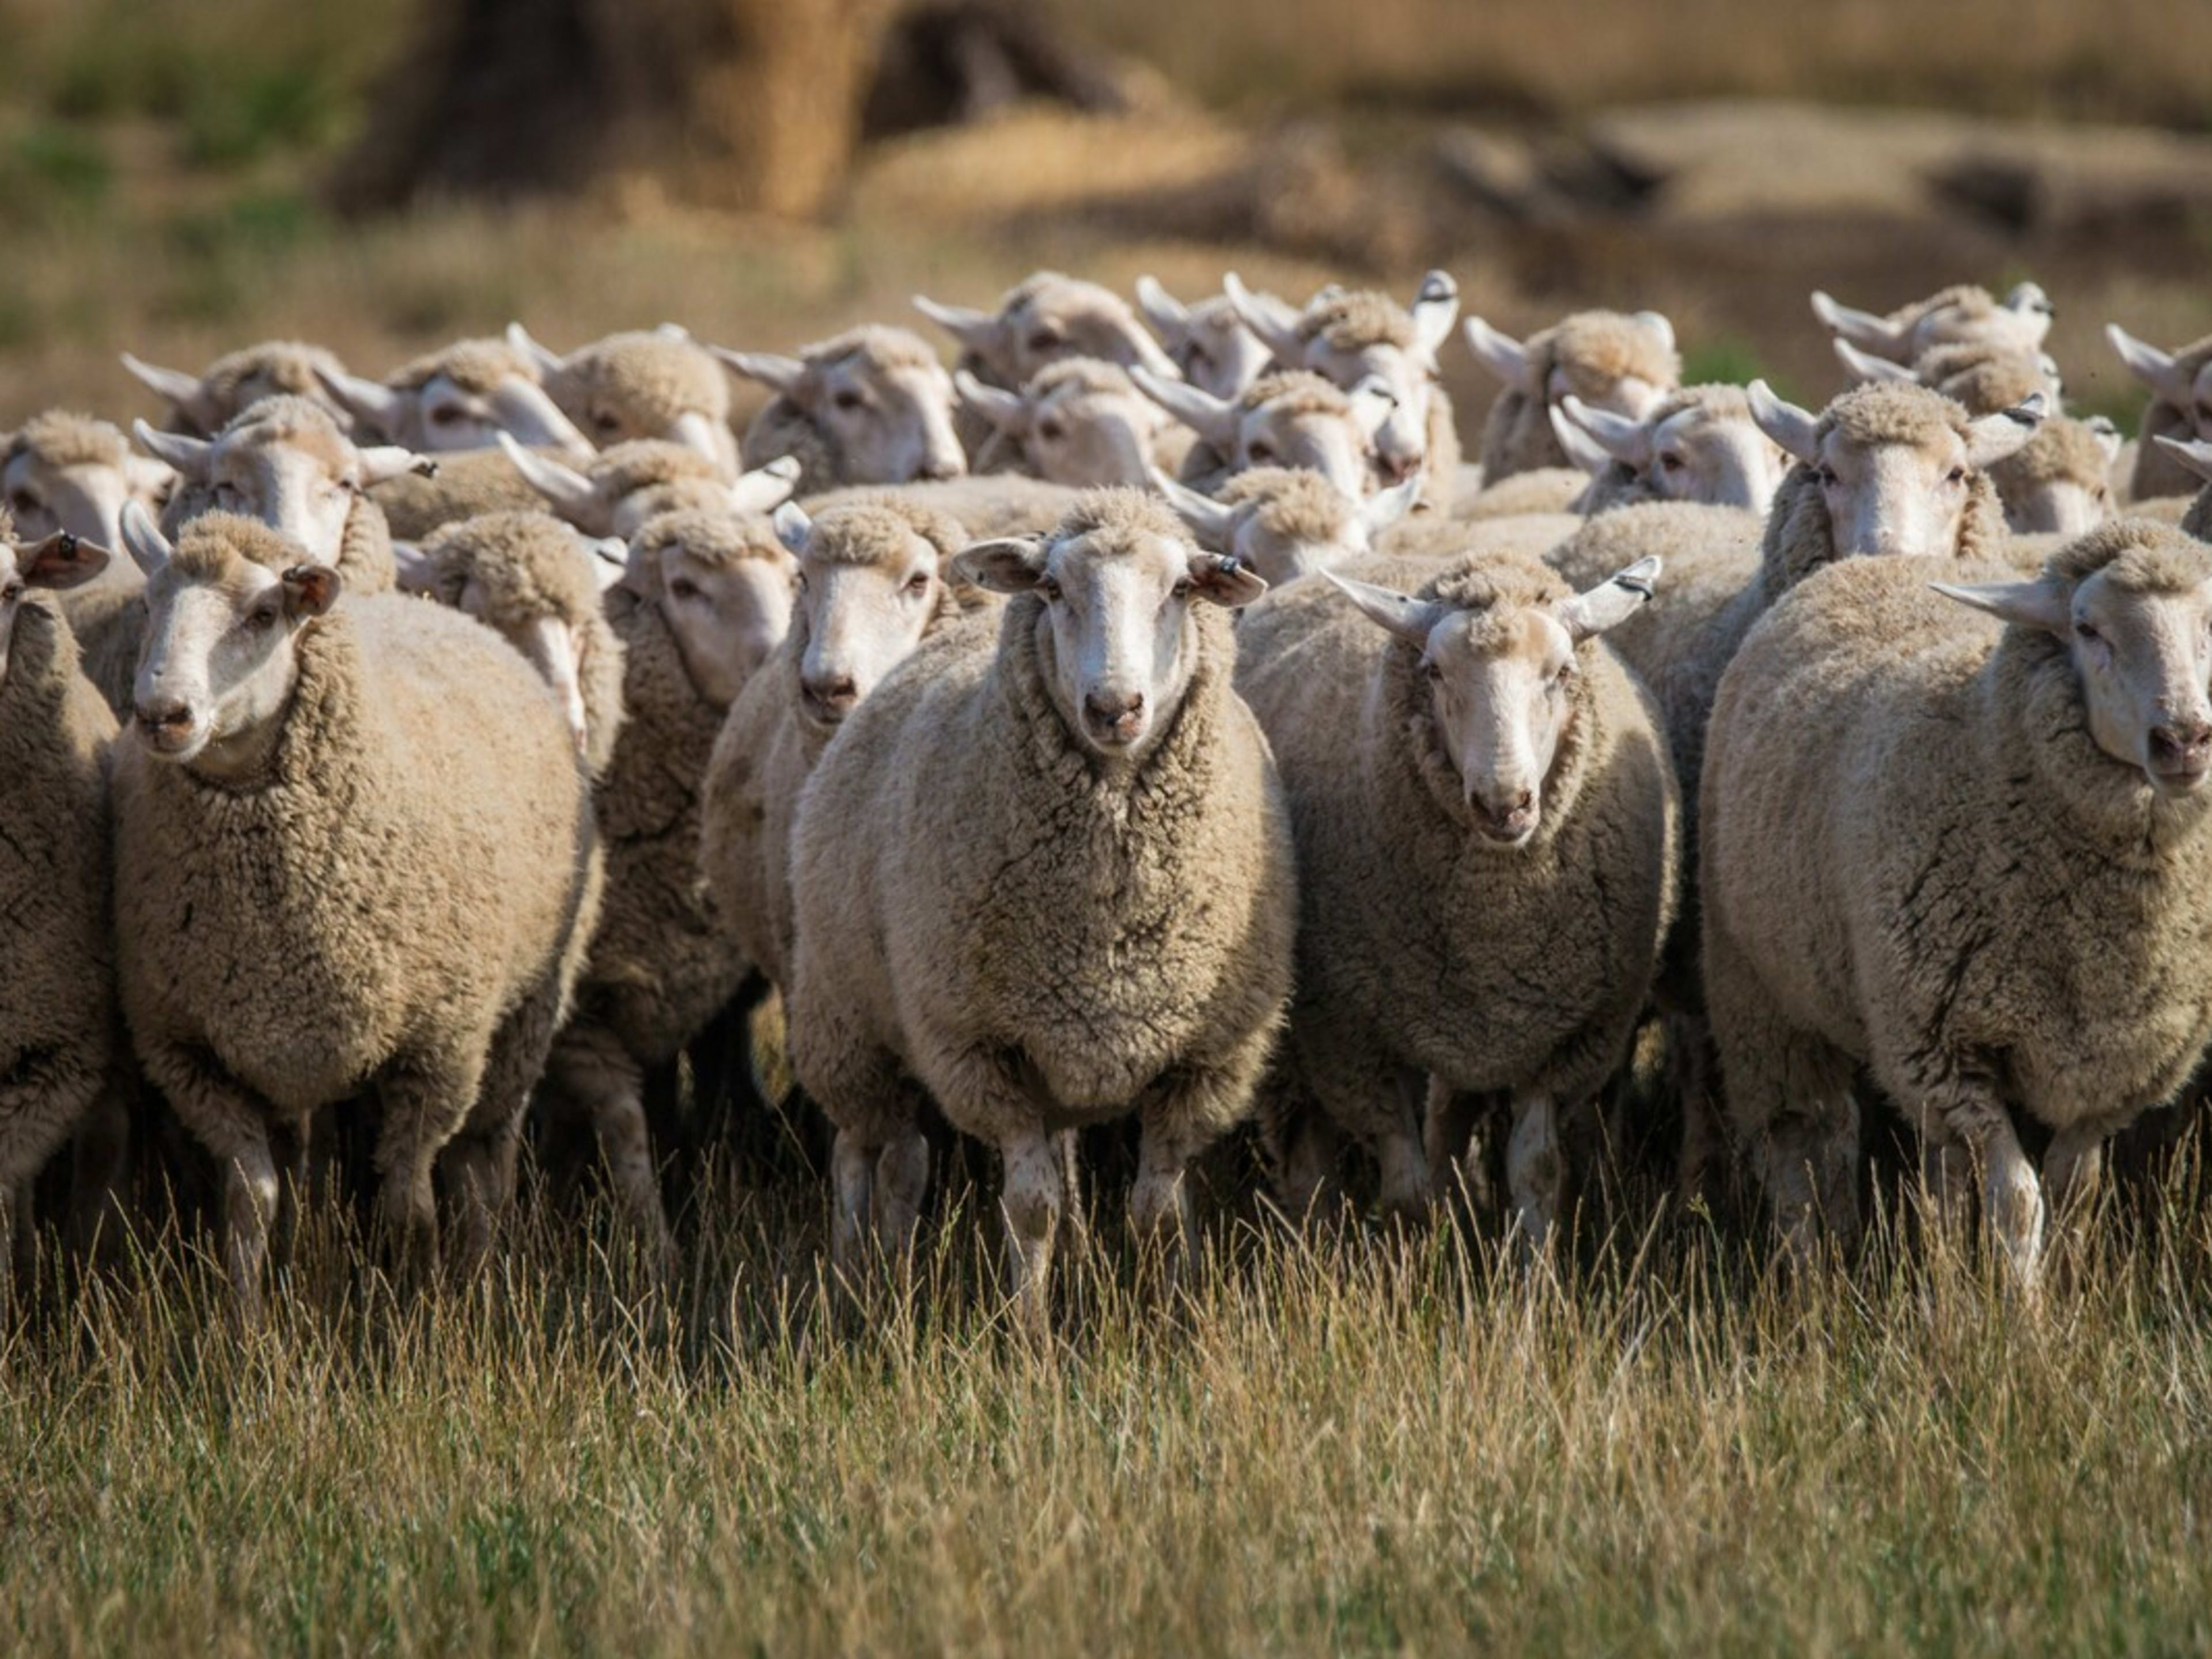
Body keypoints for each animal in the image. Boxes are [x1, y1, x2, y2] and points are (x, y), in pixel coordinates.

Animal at [109, 507, 598, 1320]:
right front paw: (243, 1327)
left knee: (484, 1166)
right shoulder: (192, 1054)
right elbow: (251, 1201)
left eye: (264, 615)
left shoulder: (438, 1051)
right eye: (149, 604)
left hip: (526, 1013)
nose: (162, 715)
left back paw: (479, 1276)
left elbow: (409, 1204)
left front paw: (415, 1319)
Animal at [535, 506, 799, 1258]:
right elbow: (625, 1123)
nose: (774, 663)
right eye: (684, 588)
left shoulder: (700, 992)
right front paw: (654, 1252)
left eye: (793, 577)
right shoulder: (583, 1009)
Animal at [786, 489, 1296, 1329]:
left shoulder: (1201, 1060)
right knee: (860, 1152)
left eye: (1180, 590)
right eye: (1054, 589)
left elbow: (1157, 1210)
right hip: (845, 1017)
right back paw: (852, 1281)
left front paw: (1169, 1318)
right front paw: (1030, 1337)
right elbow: (1030, 1210)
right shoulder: (982, 1048)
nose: (1115, 706)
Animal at [1233, 543, 1678, 1240]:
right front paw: (1419, 1254)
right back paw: (1315, 1237)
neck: (1493, 924)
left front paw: (1531, 1264)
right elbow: (1407, 1190)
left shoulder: (1565, 1042)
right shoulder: (1352, 1037)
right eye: (1435, 673)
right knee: (1307, 1150)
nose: (1504, 803)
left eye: (1562, 672)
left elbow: (1536, 1172)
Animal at [1702, 520, 2212, 1289]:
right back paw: (1809, 1276)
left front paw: (2065, 1293)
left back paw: (1942, 1278)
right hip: (1761, 998)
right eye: (2087, 627)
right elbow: (2019, 1201)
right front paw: (2024, 1312)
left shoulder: (2117, 1065)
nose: (2183, 740)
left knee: (1940, 1169)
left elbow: (2074, 1190)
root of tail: (1879, 561)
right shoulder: (1949, 1049)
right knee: (1799, 1144)